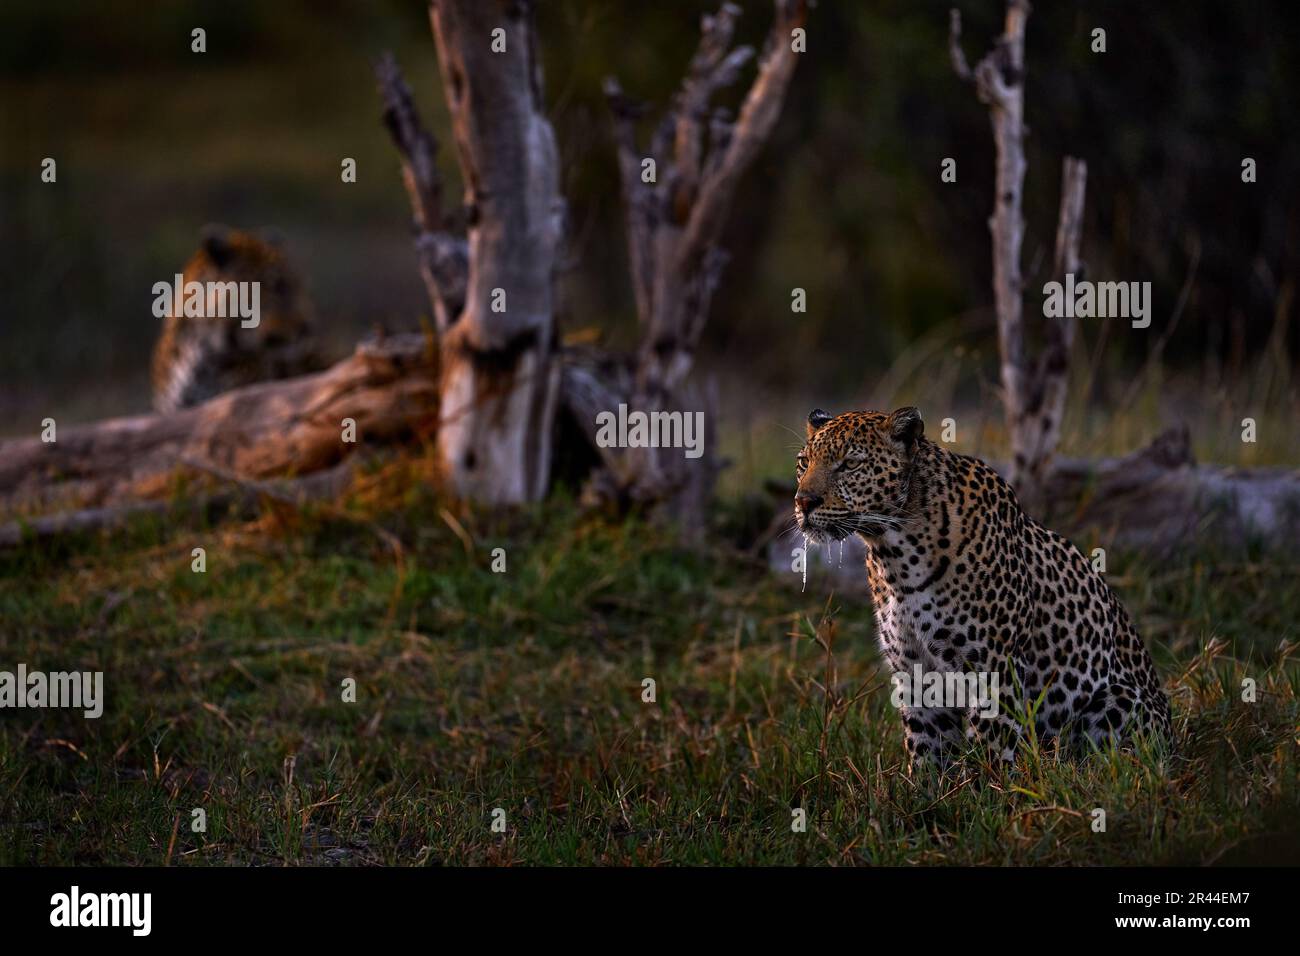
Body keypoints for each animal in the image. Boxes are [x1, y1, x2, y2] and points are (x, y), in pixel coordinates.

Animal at [794, 406, 1172, 771]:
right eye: (803, 463)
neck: (895, 557)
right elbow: (927, 755)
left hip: (1117, 701)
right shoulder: (915, 674)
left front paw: (989, 789)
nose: (803, 502)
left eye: (850, 465)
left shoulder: (995, 669)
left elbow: (990, 752)